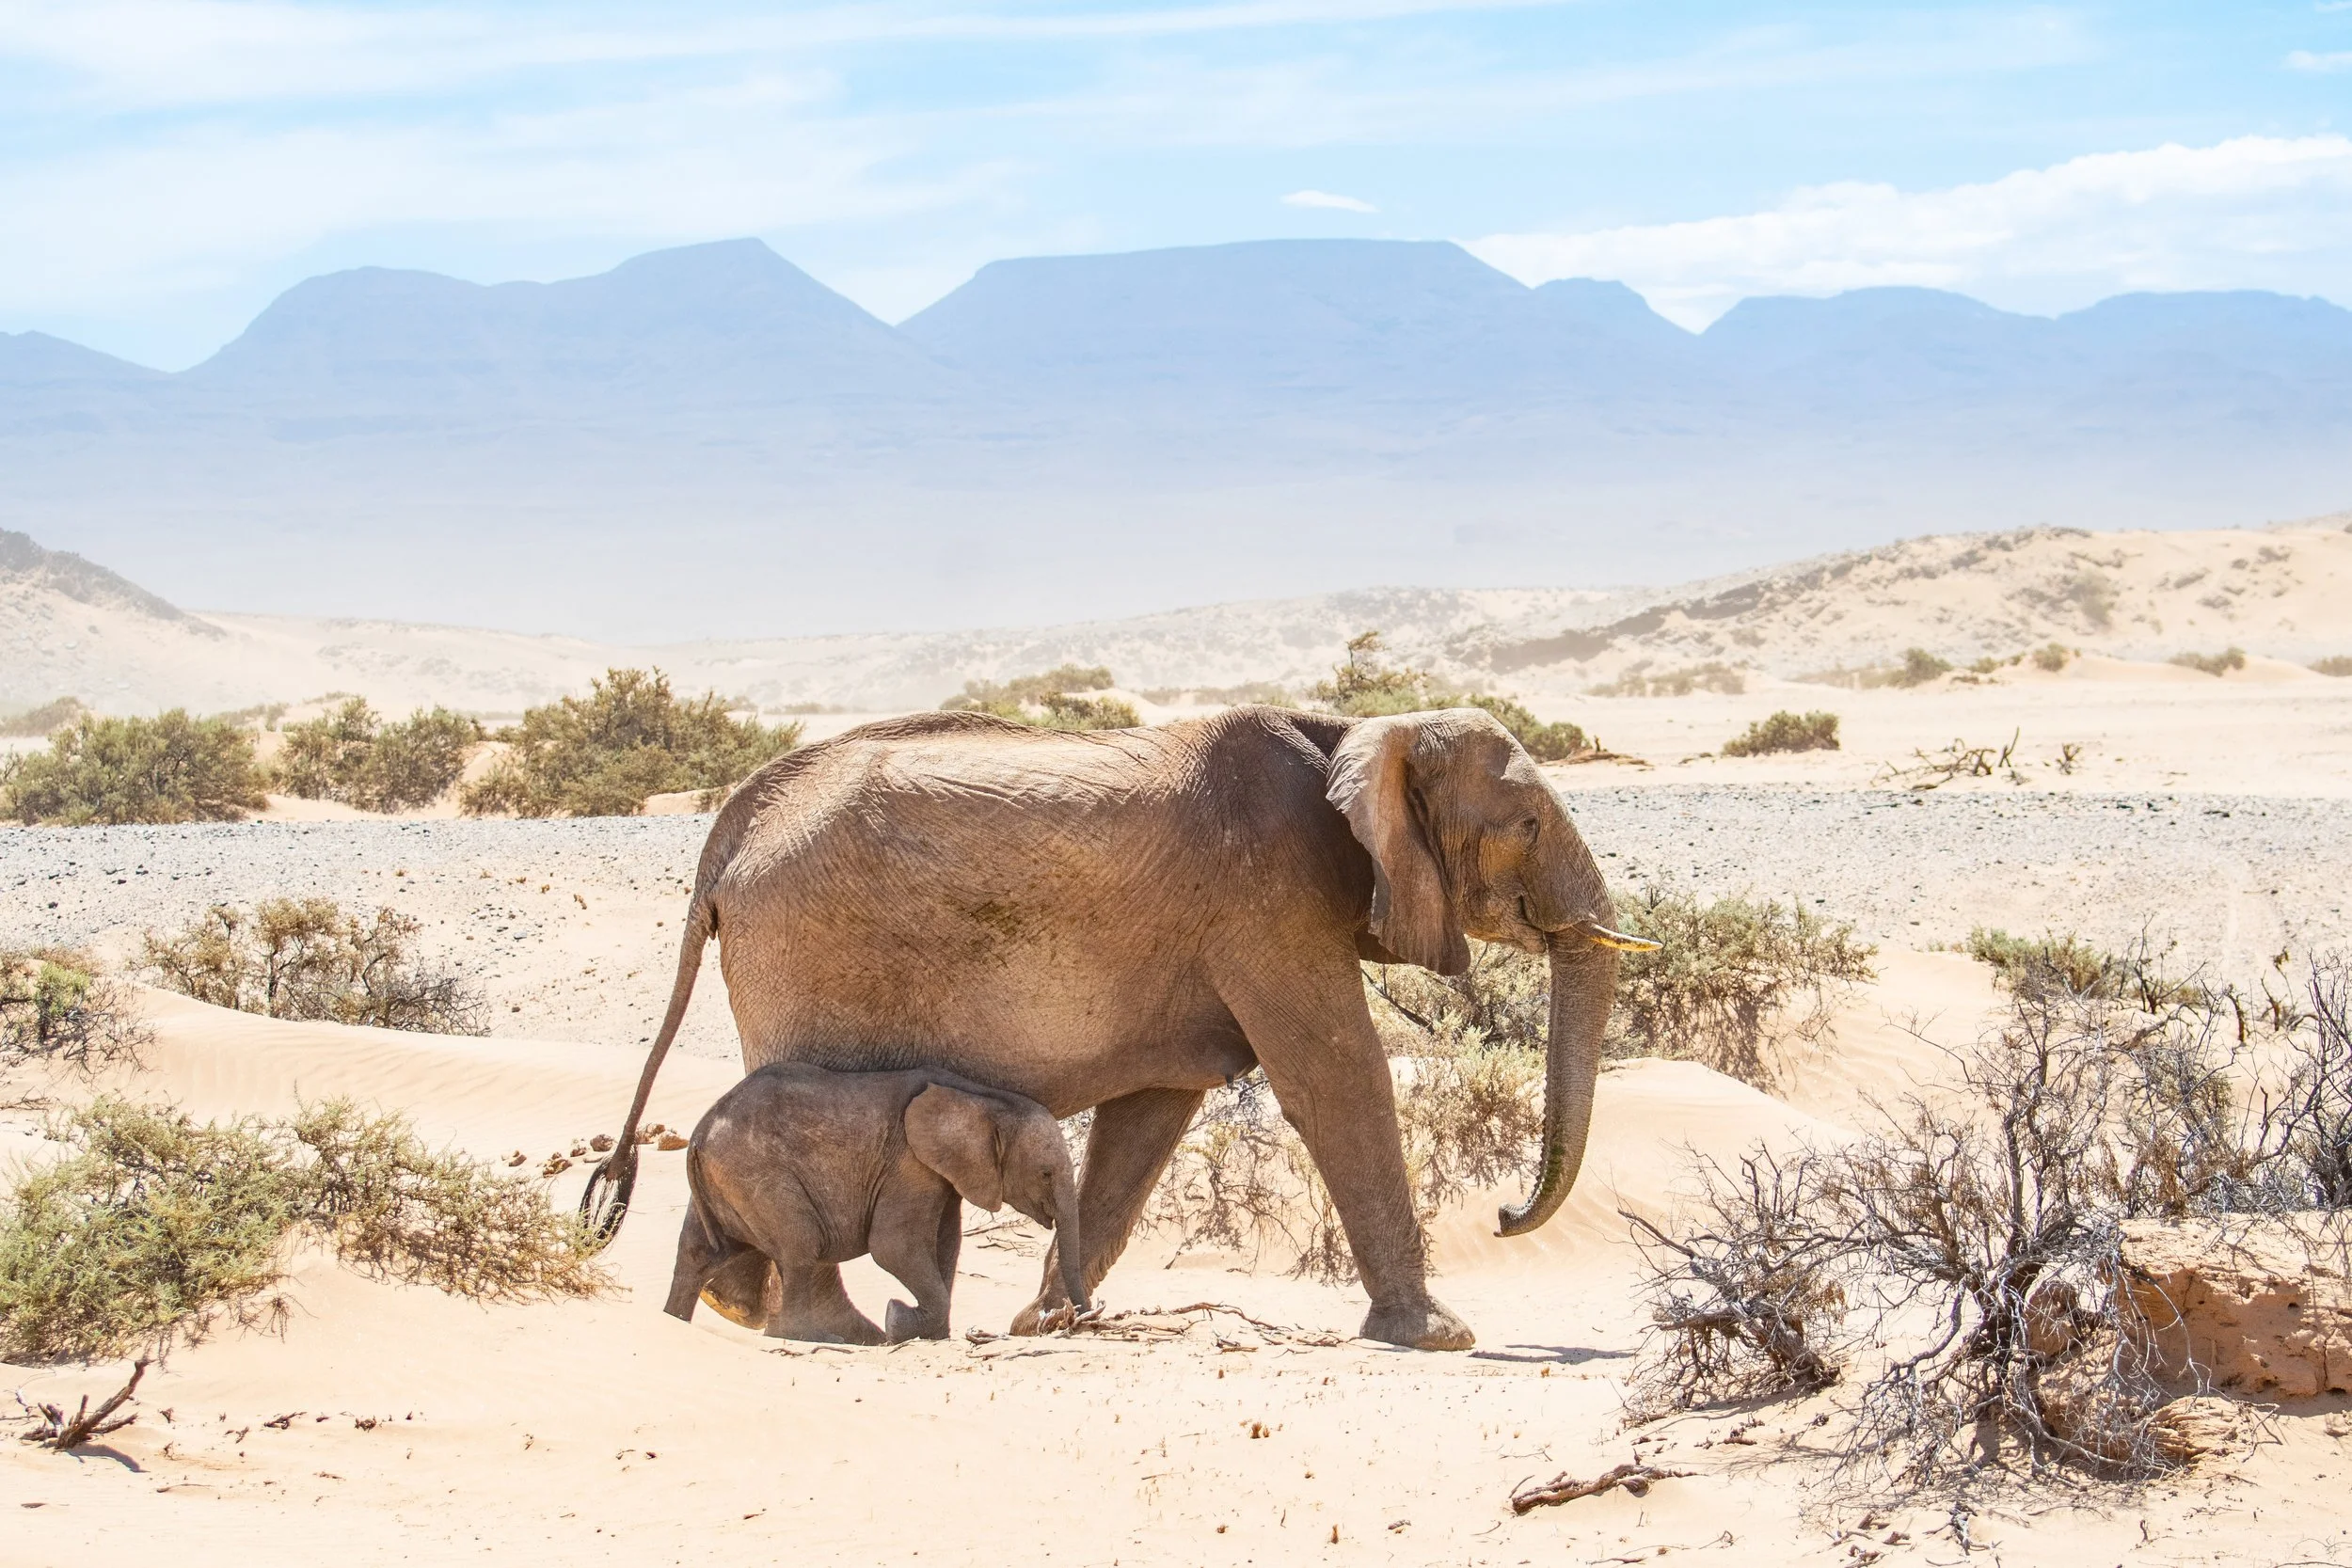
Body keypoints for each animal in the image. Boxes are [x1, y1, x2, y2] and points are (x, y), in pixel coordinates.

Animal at [664, 1062, 1087, 1343]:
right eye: (1046, 1173)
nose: (1075, 1318)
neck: (983, 1099)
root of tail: (699, 1134)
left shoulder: (940, 1174)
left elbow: (946, 1243)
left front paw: (925, 1331)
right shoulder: (909, 1164)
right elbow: (894, 1247)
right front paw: (898, 1320)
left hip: (723, 1182)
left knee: (696, 1252)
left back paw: (673, 1320)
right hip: (758, 1177)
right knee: (801, 1247)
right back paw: (811, 1339)